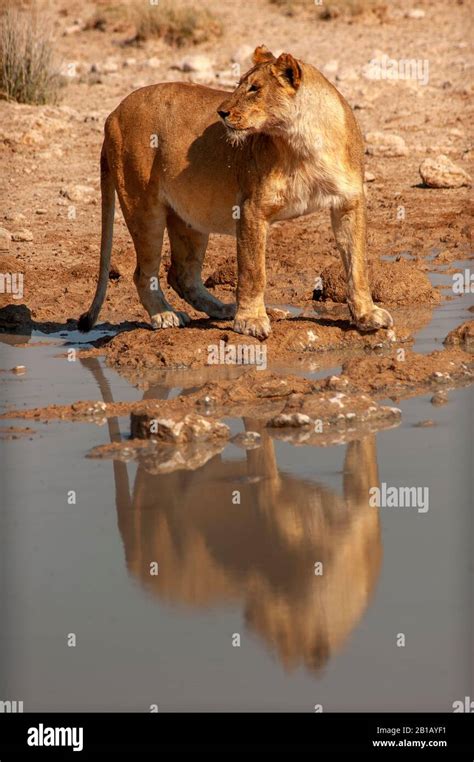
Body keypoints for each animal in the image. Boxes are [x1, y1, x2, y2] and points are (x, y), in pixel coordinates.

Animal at [78, 45, 393, 339]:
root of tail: (113, 113)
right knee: (144, 274)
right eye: (239, 84)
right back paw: (164, 315)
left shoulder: (349, 202)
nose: (221, 112)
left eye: (254, 88)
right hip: (143, 207)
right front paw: (251, 321)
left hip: (191, 216)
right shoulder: (252, 208)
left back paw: (225, 309)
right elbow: (254, 270)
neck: (305, 141)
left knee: (182, 275)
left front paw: (367, 315)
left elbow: (357, 263)